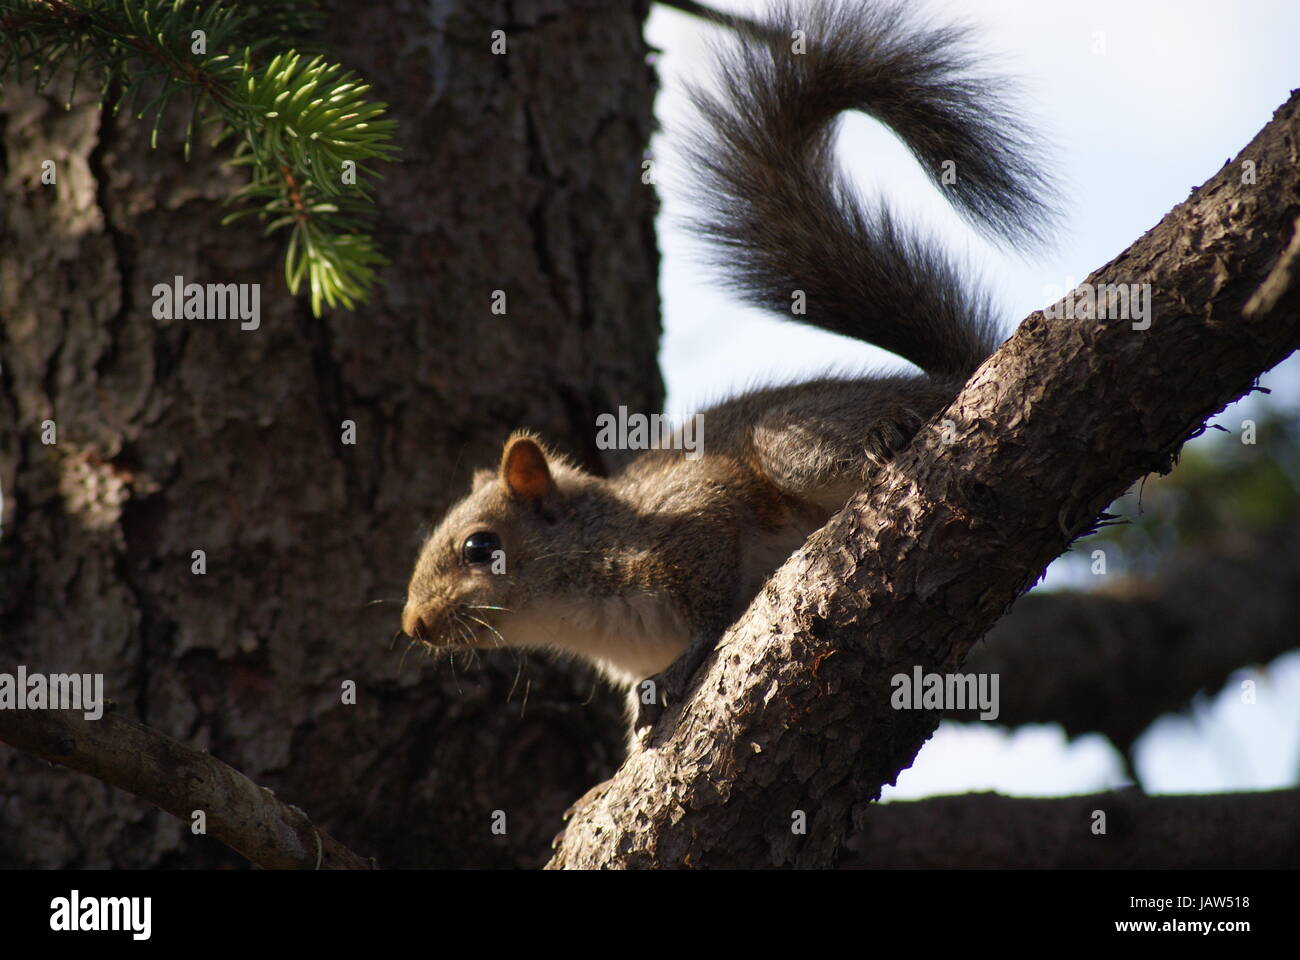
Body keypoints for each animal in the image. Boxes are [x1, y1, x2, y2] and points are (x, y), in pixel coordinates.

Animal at [400, 0, 1055, 739]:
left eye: (480, 547)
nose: (413, 624)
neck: (582, 615)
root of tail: (953, 376)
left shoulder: (688, 519)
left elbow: (710, 596)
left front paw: (683, 663)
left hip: (791, 441)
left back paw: (890, 435)